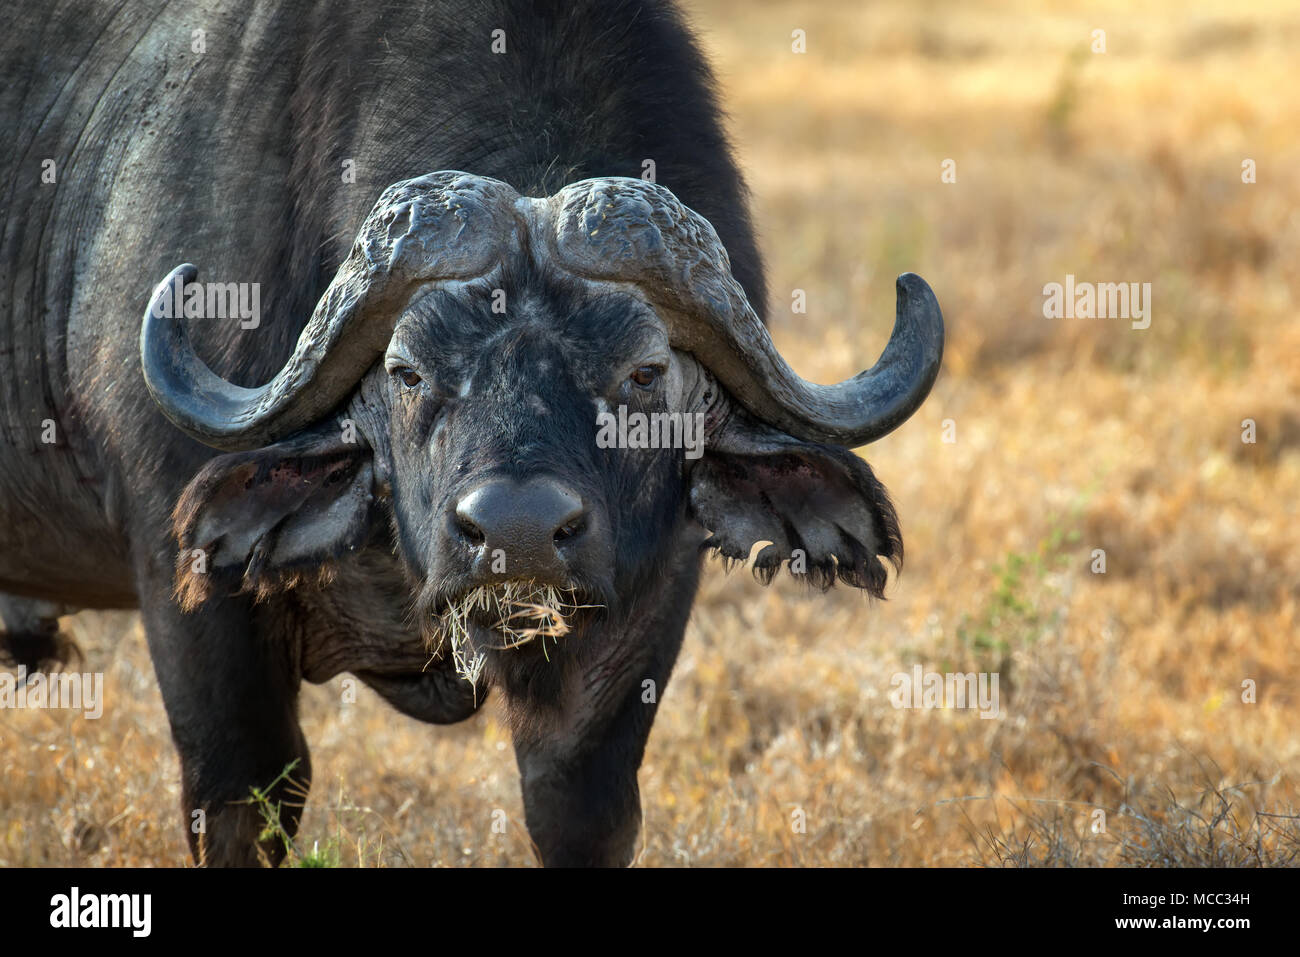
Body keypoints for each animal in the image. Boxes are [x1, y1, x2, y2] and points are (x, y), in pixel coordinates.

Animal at [0, 0, 942, 866]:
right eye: (408, 370)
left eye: (644, 373)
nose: (516, 532)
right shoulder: (190, 587)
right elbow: (244, 798)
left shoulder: (643, 609)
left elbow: (577, 805)